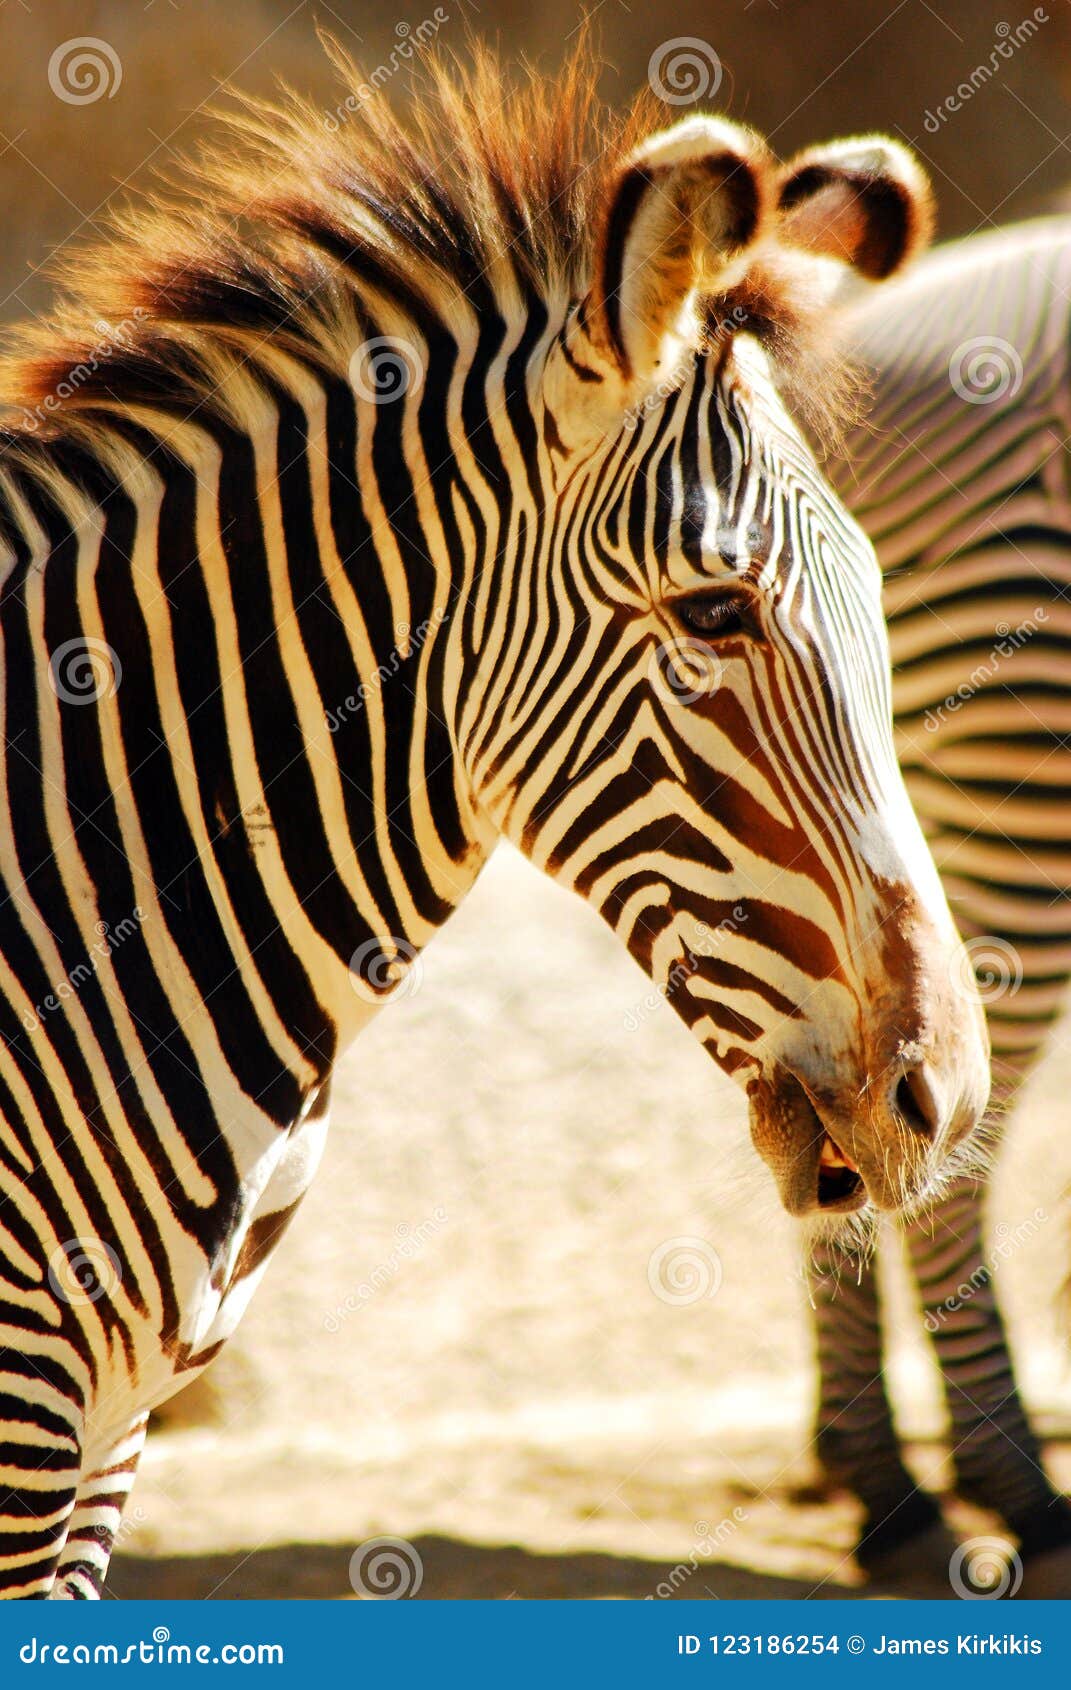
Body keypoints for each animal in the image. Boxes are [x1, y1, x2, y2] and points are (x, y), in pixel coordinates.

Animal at [0, 50, 989, 1598]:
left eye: (881, 603)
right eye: (716, 609)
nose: (945, 1099)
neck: (84, 887)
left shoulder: (111, 1432)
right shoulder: (31, 1420)